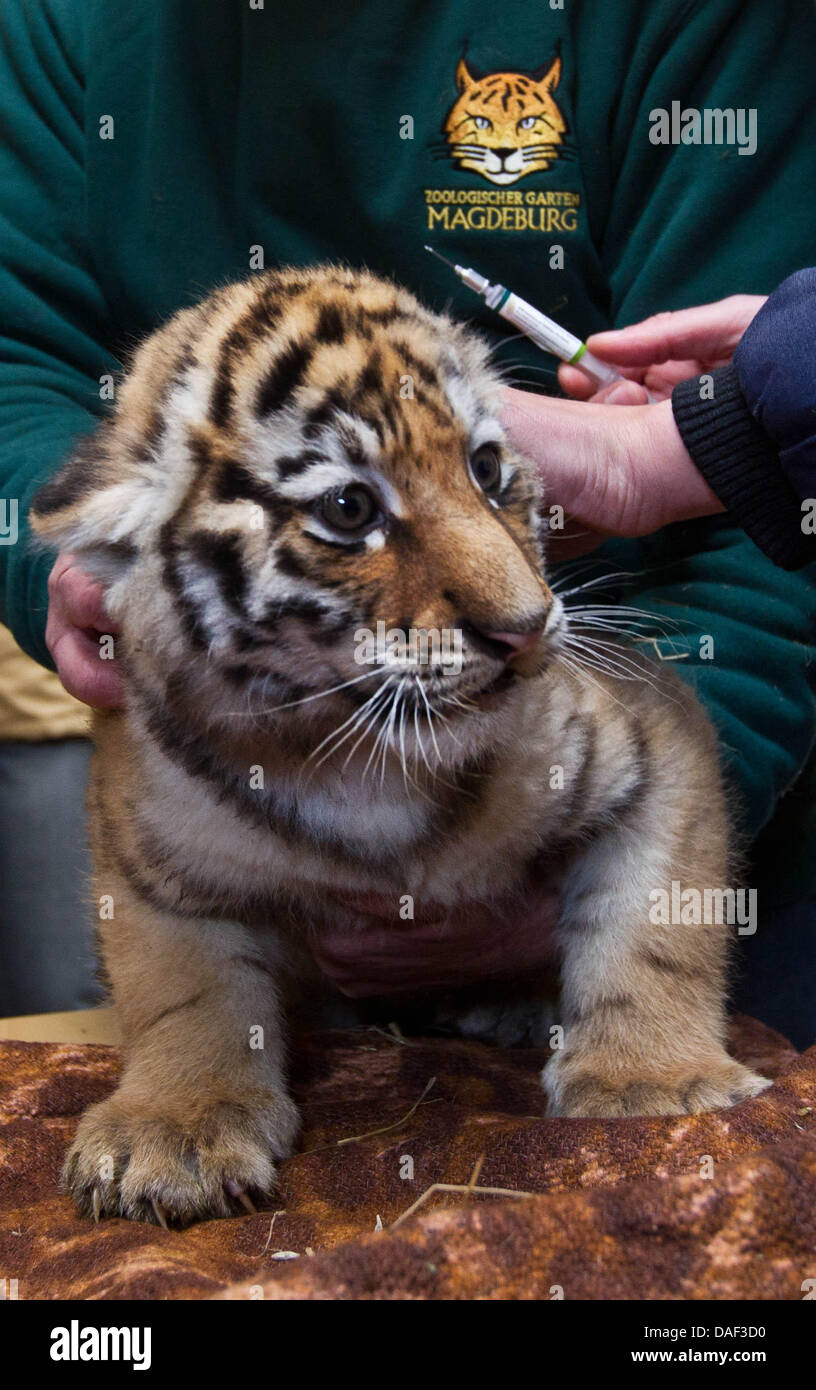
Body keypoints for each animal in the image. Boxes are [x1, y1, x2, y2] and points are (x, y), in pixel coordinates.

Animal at [31, 265, 769, 1227]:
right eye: (350, 509)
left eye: (486, 469)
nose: (526, 630)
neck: (359, 755)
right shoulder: (148, 845)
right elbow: (182, 987)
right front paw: (175, 1127)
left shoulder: (656, 745)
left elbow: (654, 925)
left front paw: (654, 1082)